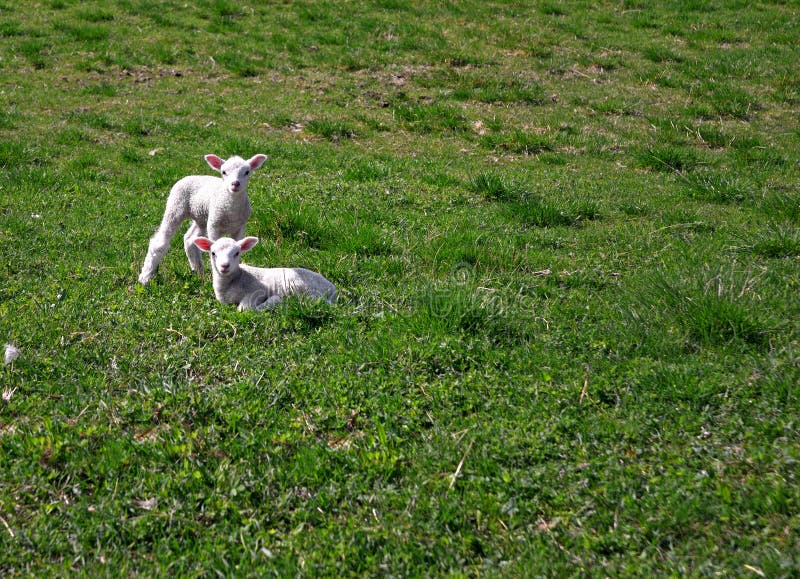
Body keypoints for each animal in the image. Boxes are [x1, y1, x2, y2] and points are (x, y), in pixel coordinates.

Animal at [138, 153, 267, 285]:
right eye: (224, 172)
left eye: (247, 172)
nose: (235, 184)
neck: (231, 210)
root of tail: (192, 175)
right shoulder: (214, 225)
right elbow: (213, 248)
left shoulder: (240, 227)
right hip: (176, 206)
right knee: (159, 242)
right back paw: (145, 277)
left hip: (202, 218)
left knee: (190, 239)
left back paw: (198, 272)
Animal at [192, 236, 337, 310]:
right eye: (213, 253)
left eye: (237, 253)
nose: (224, 266)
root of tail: (332, 289)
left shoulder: (257, 290)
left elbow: (243, 309)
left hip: (299, 286)